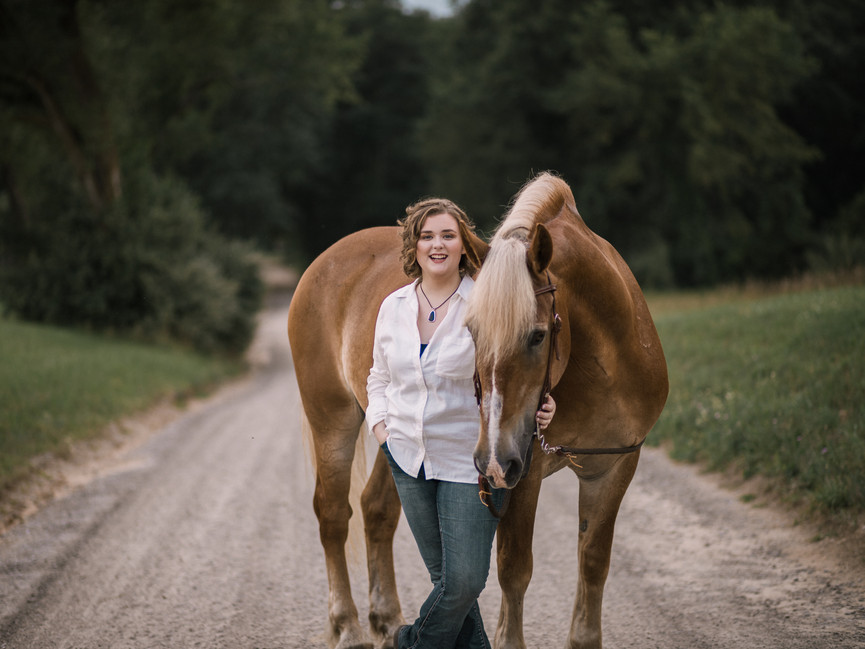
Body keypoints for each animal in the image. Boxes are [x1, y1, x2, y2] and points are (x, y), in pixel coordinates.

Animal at [287, 172, 668, 649]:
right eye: (471, 331)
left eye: (538, 335)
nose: (492, 460)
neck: (605, 364)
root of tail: (327, 261)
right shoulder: (523, 474)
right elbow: (513, 569)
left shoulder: (615, 467)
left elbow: (594, 560)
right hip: (333, 417)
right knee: (334, 515)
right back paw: (348, 626)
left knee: (377, 510)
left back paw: (387, 618)